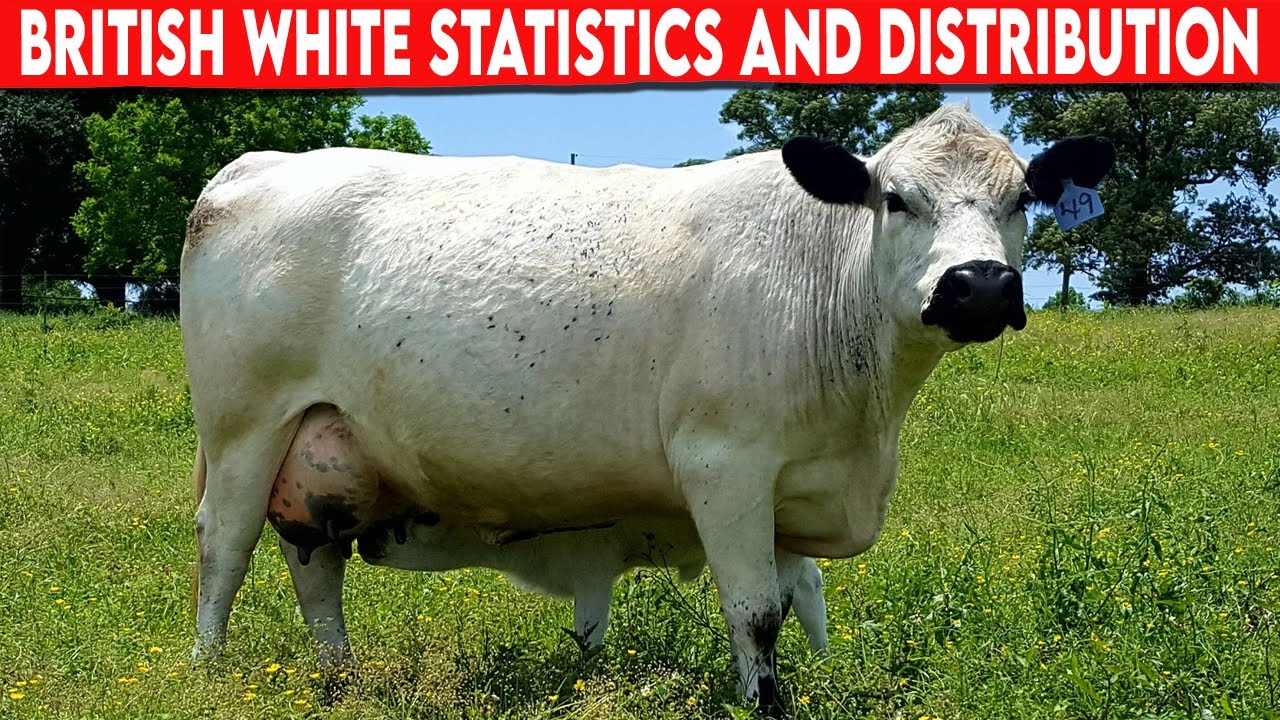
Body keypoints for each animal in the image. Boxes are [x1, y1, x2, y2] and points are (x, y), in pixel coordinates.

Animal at [181, 104, 1114, 714]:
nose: (980, 284)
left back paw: (338, 680)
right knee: (225, 549)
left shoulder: (788, 484)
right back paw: (209, 671)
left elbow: (795, 599)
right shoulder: (725, 464)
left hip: (323, 445)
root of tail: (258, 164)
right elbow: (757, 613)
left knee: (314, 561)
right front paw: (763, 704)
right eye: (895, 198)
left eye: (1023, 198)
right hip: (243, 429)